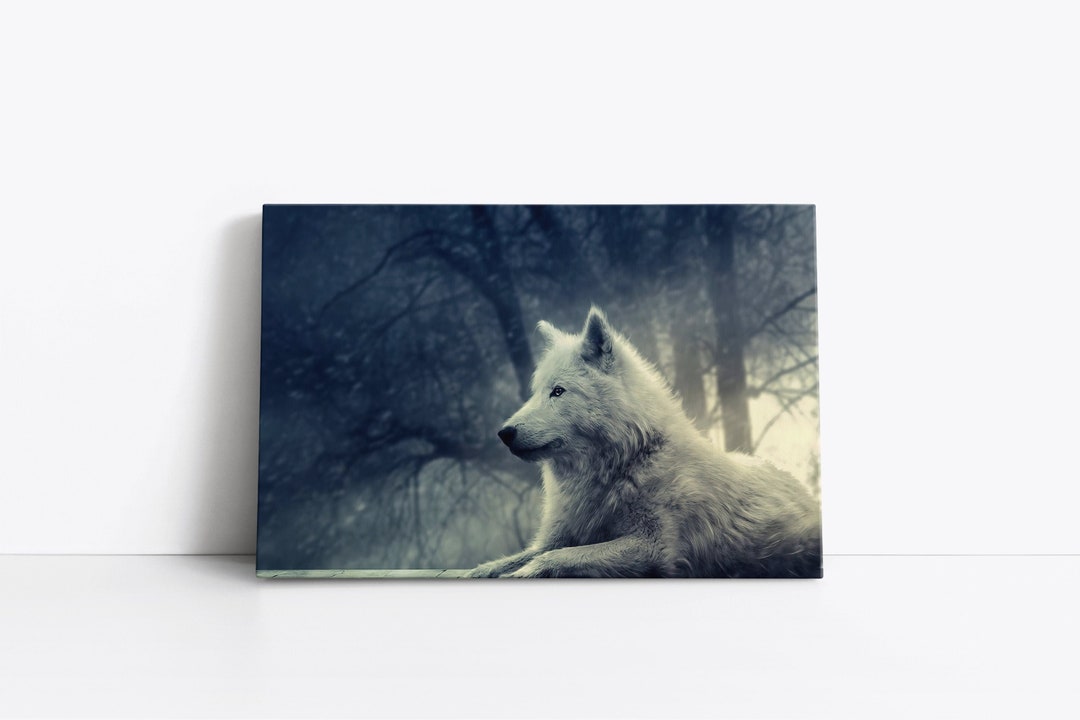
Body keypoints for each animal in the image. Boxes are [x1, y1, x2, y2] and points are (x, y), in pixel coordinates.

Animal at [466, 307, 821, 578]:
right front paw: (482, 571)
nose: (504, 433)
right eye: (536, 392)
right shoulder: (555, 537)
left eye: (558, 391)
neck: (627, 461)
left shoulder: (652, 547)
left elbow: (558, 557)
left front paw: (523, 574)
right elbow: (511, 559)